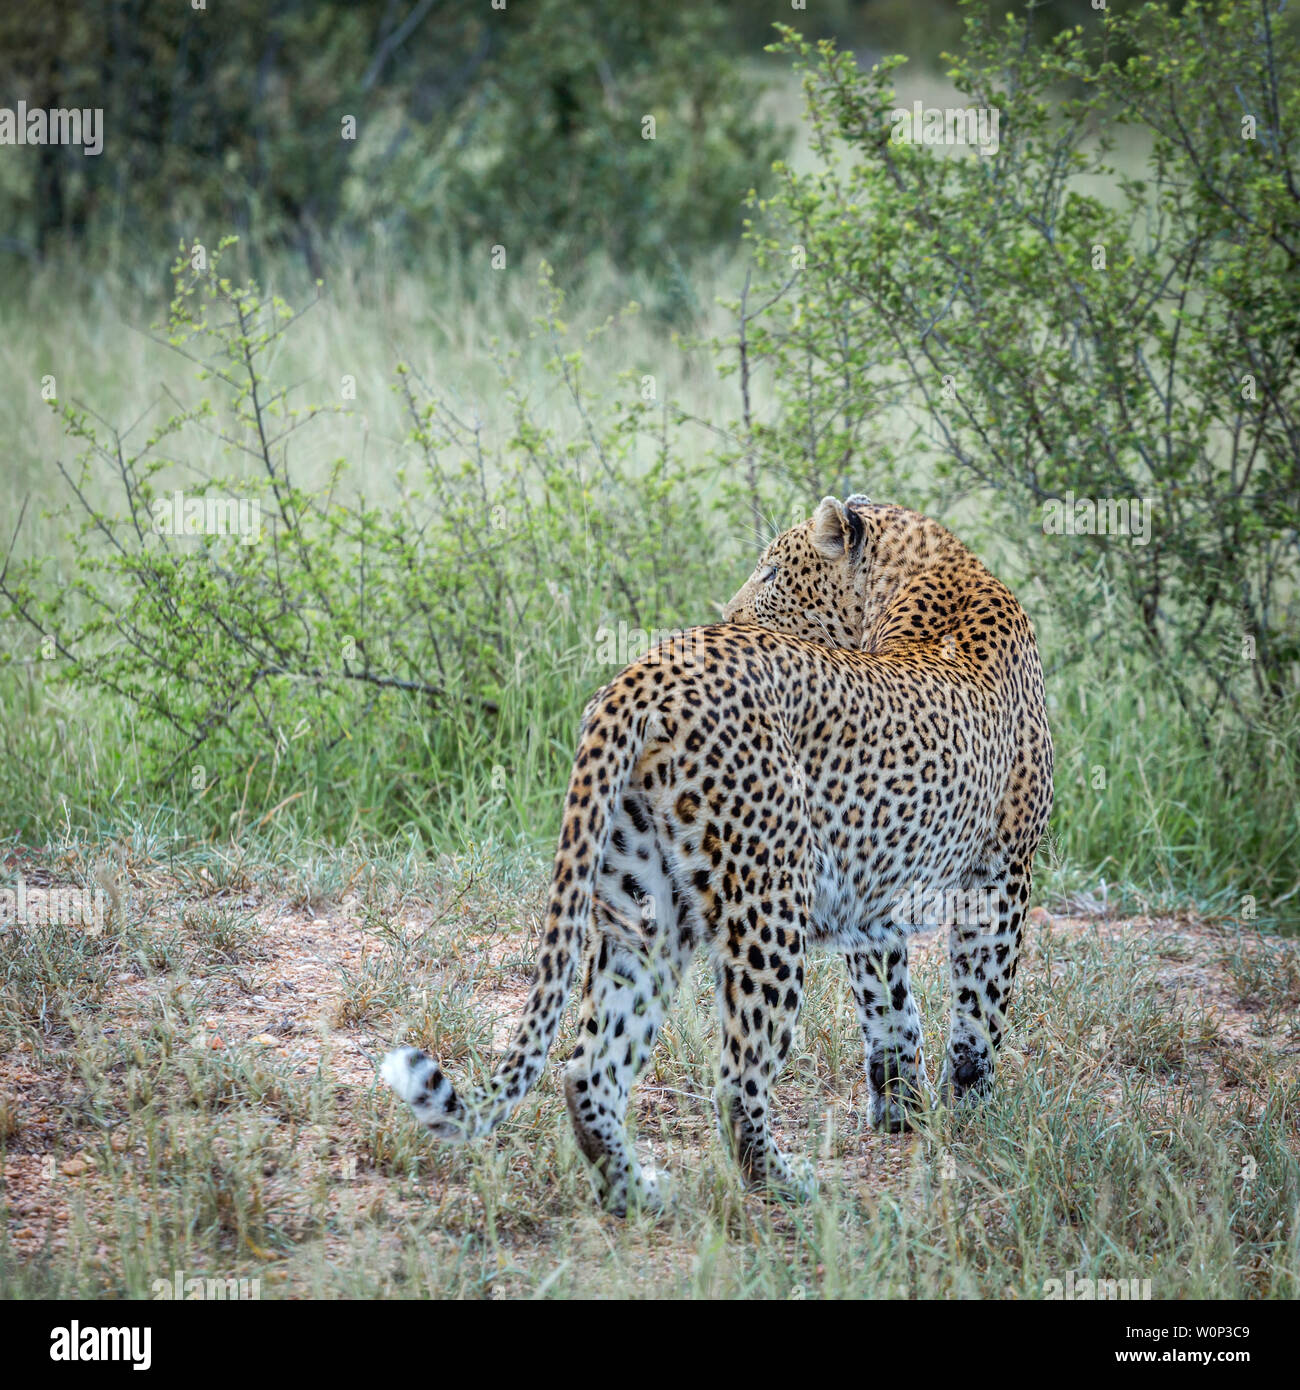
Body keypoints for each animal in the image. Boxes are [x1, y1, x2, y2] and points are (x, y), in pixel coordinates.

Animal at [383, 495, 1054, 1214]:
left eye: (771, 573)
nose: (729, 613)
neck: (927, 572)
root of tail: (646, 670)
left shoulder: (878, 900)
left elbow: (893, 1008)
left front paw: (905, 1109)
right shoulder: (1002, 874)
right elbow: (981, 1004)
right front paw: (973, 1110)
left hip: (642, 905)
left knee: (590, 1066)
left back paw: (635, 1194)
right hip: (769, 905)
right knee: (737, 1076)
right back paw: (785, 1183)